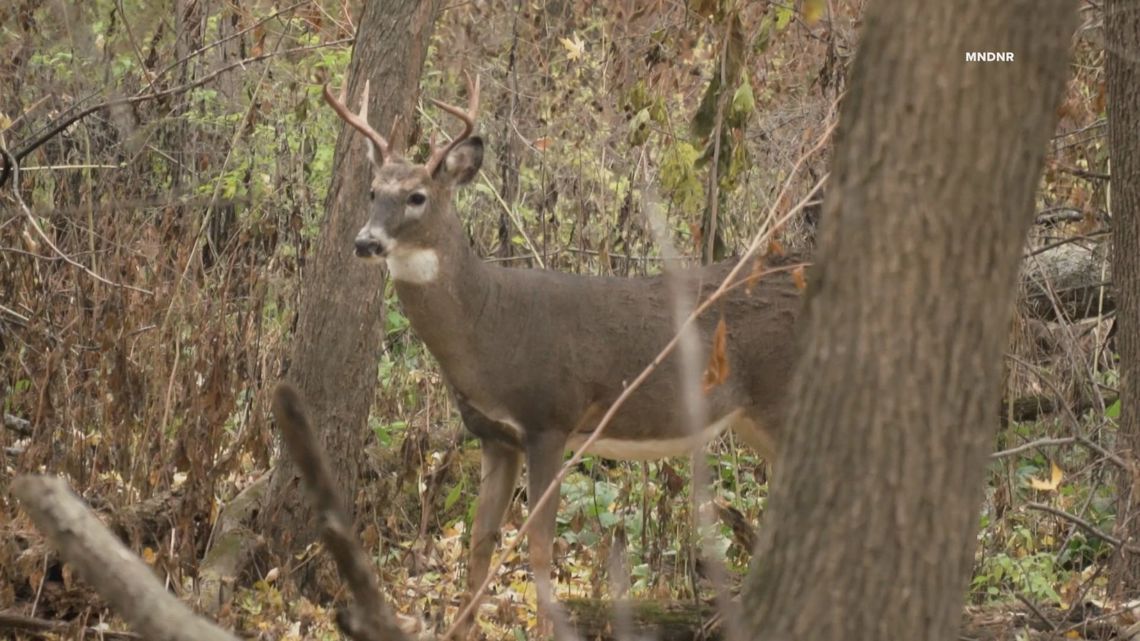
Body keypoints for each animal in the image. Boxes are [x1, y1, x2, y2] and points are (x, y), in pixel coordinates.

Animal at [323, 75, 804, 634]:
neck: (488, 327)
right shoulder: (495, 435)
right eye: (373, 192)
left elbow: (538, 548)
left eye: (417, 196)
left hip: (778, 398)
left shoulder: (549, 420)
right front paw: (460, 629)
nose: (365, 242)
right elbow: (480, 542)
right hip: (750, 417)